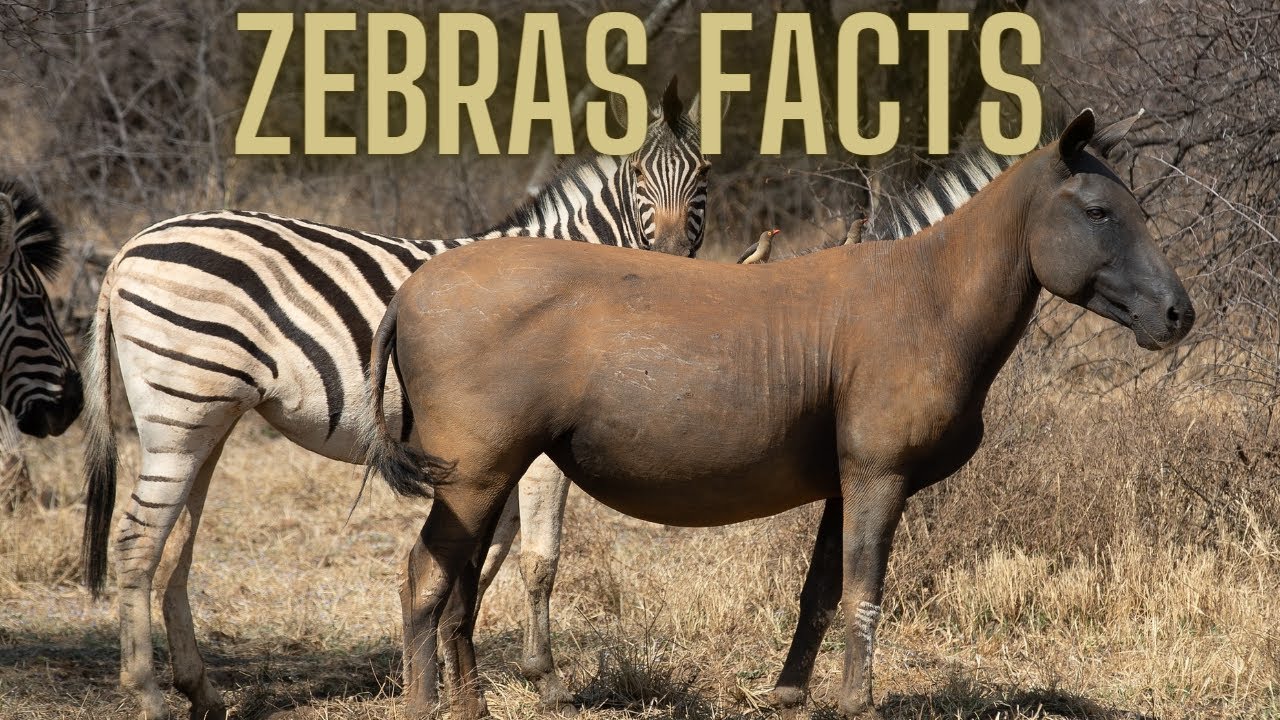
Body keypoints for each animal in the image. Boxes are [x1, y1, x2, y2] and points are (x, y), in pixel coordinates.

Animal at [80, 80, 707, 720]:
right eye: (638, 175)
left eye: (704, 174)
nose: (671, 261)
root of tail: (130, 246)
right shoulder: (535, 454)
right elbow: (538, 560)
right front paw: (544, 680)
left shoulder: (496, 453)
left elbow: (481, 563)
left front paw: (447, 678)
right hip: (181, 407)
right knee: (136, 540)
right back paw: (147, 692)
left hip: (207, 418)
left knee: (173, 548)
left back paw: (200, 691)